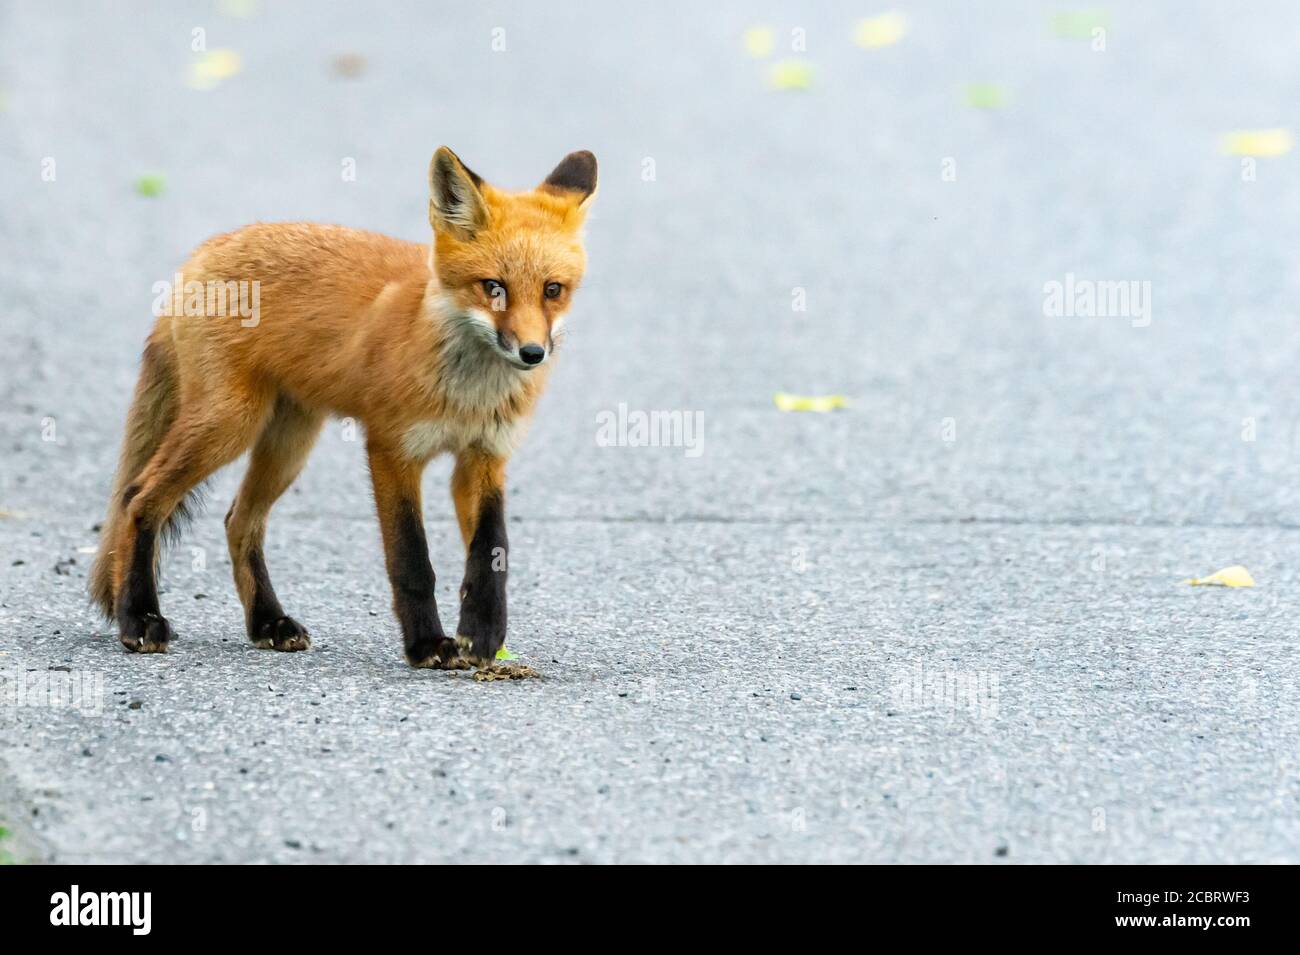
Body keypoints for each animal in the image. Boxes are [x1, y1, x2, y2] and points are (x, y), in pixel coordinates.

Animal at [88, 147, 597, 669]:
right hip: (230, 424)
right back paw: (139, 618)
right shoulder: (391, 449)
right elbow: (411, 560)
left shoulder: (484, 456)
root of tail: (204, 252)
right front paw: (427, 645)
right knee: (138, 497)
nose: (533, 353)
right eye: (493, 287)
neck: (469, 397)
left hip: (289, 444)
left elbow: (492, 551)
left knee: (238, 521)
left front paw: (483, 634)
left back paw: (268, 621)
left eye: (552, 290)